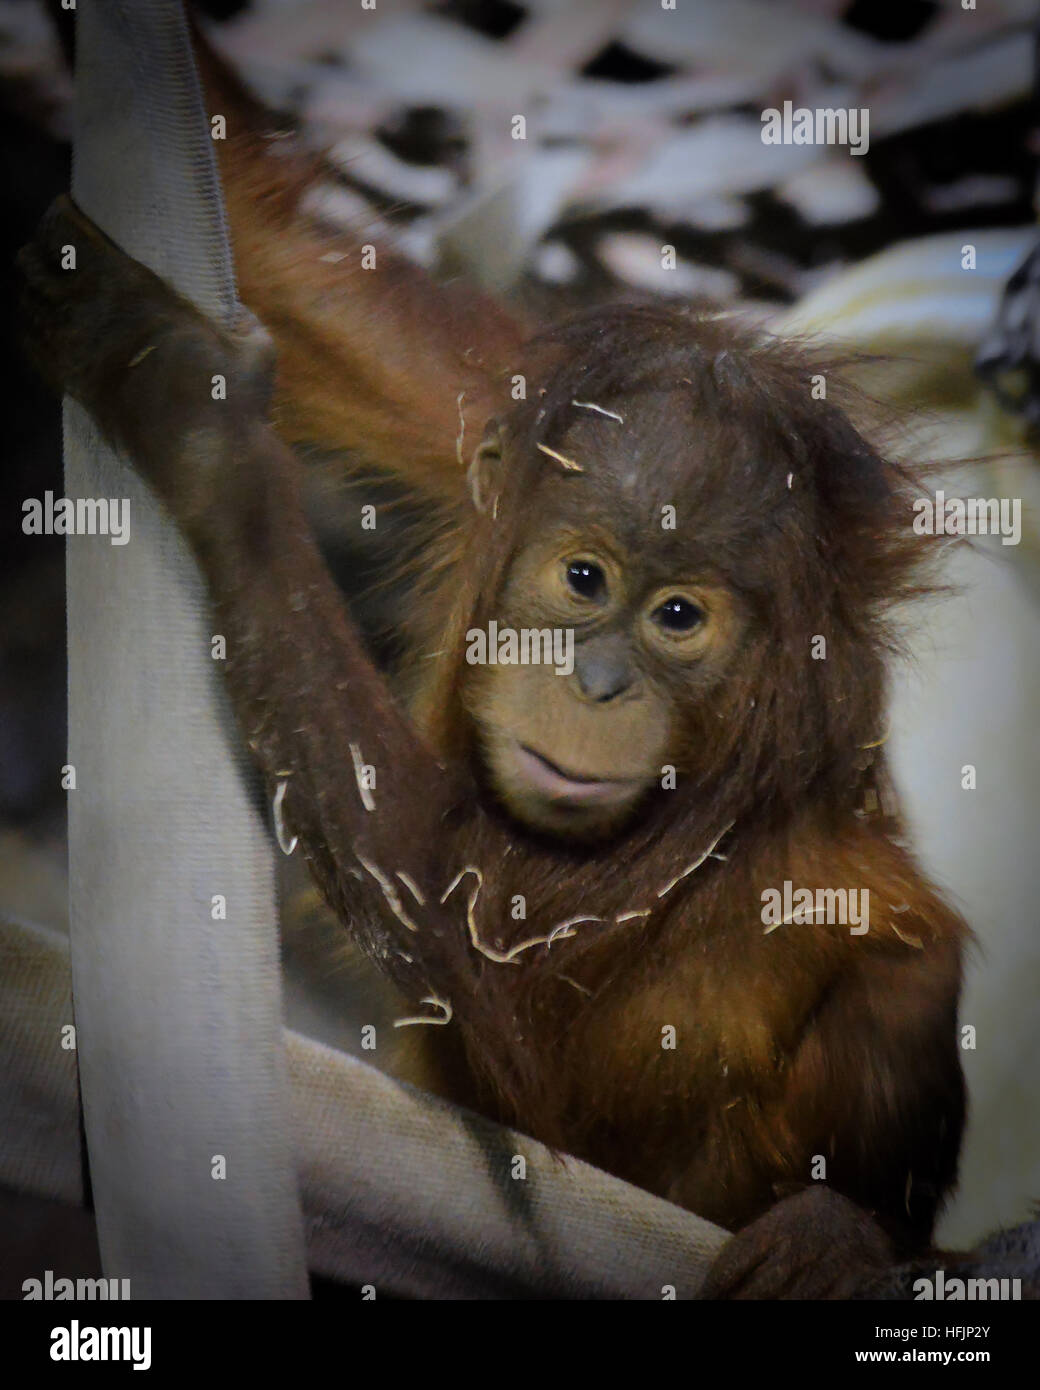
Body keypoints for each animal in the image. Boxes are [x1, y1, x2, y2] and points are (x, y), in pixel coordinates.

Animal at [16, 39, 969, 1299]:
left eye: (677, 616)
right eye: (582, 579)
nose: (598, 684)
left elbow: (474, 933)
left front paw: (190, 409)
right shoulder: (483, 406)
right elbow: (312, 280)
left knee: (891, 946)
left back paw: (849, 1233)